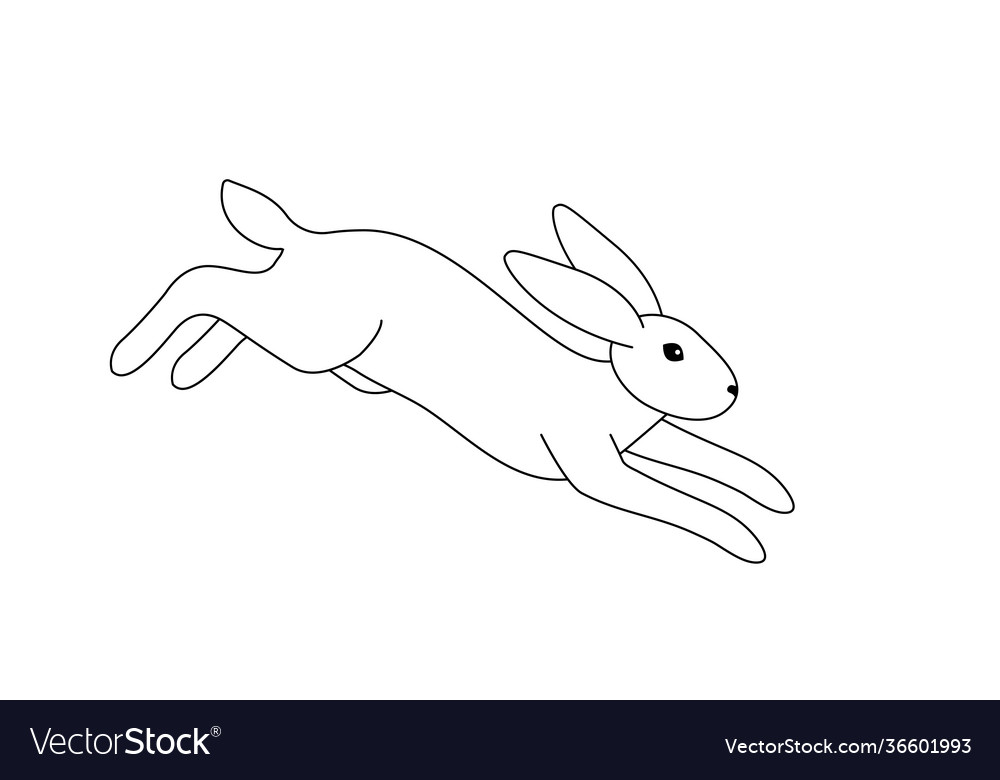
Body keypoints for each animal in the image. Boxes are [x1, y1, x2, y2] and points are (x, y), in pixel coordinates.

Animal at [110, 181, 793, 562]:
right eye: (674, 352)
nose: (732, 389)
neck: (604, 389)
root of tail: (307, 238)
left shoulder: (642, 443)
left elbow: (715, 461)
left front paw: (777, 496)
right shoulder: (596, 469)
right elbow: (677, 498)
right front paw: (746, 542)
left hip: (309, 328)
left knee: (235, 302)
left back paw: (186, 373)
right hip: (313, 335)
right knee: (205, 282)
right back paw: (125, 357)